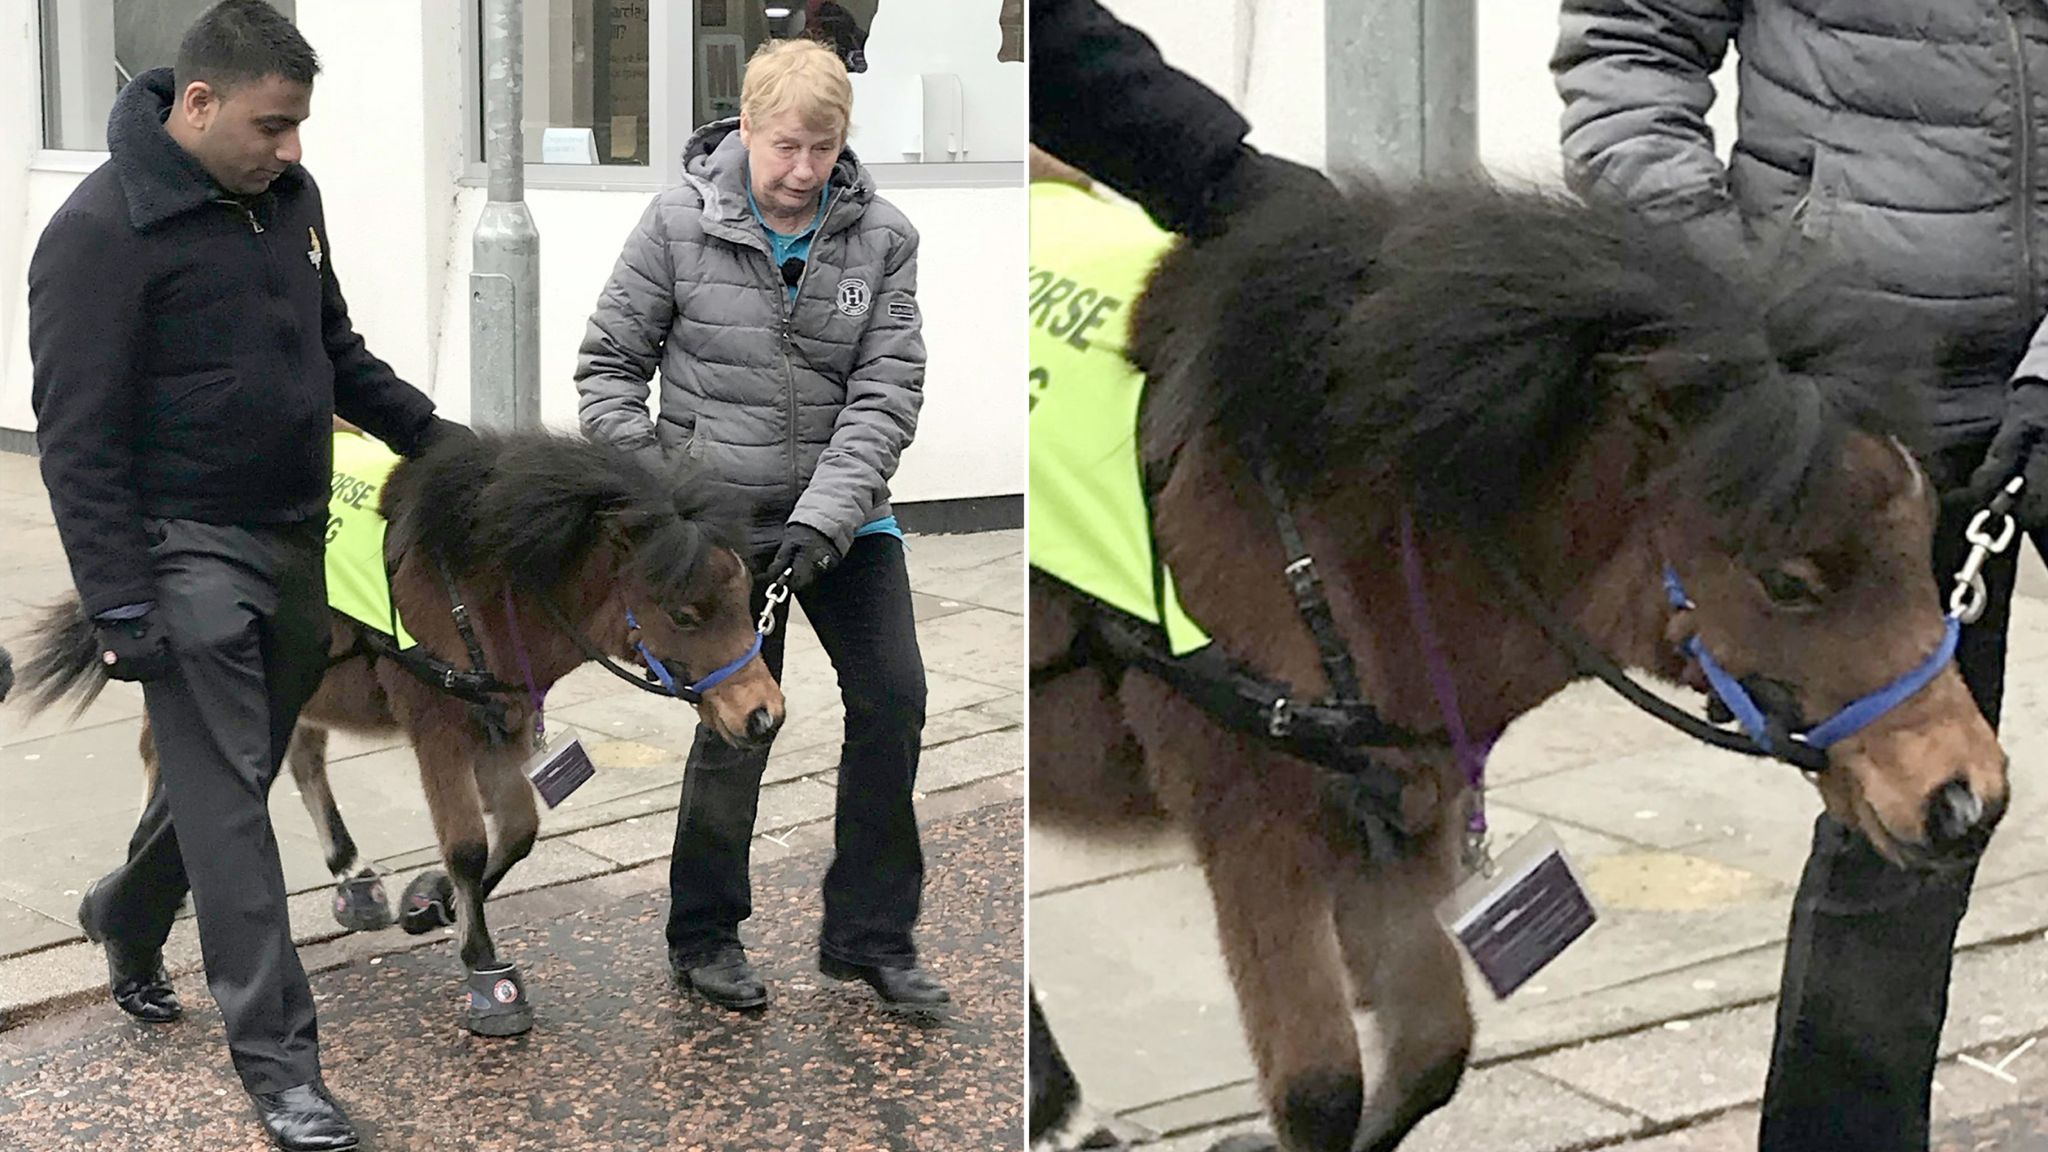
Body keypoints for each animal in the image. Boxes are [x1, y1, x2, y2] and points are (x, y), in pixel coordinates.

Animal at [14, 429, 786, 1037]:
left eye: (745, 590)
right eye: (684, 614)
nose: (764, 714)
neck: (479, 583)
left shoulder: (496, 723)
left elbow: (517, 830)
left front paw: (430, 903)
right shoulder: (438, 724)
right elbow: (469, 844)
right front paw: (483, 968)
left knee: (302, 757)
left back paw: (352, 876)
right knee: (162, 757)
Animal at [1029, 175, 2008, 1152]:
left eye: (1929, 530)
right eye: (1789, 579)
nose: (1966, 800)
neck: (1325, 537)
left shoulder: (1400, 820)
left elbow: (1431, 1052)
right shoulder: (1255, 825)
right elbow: (1321, 1093)